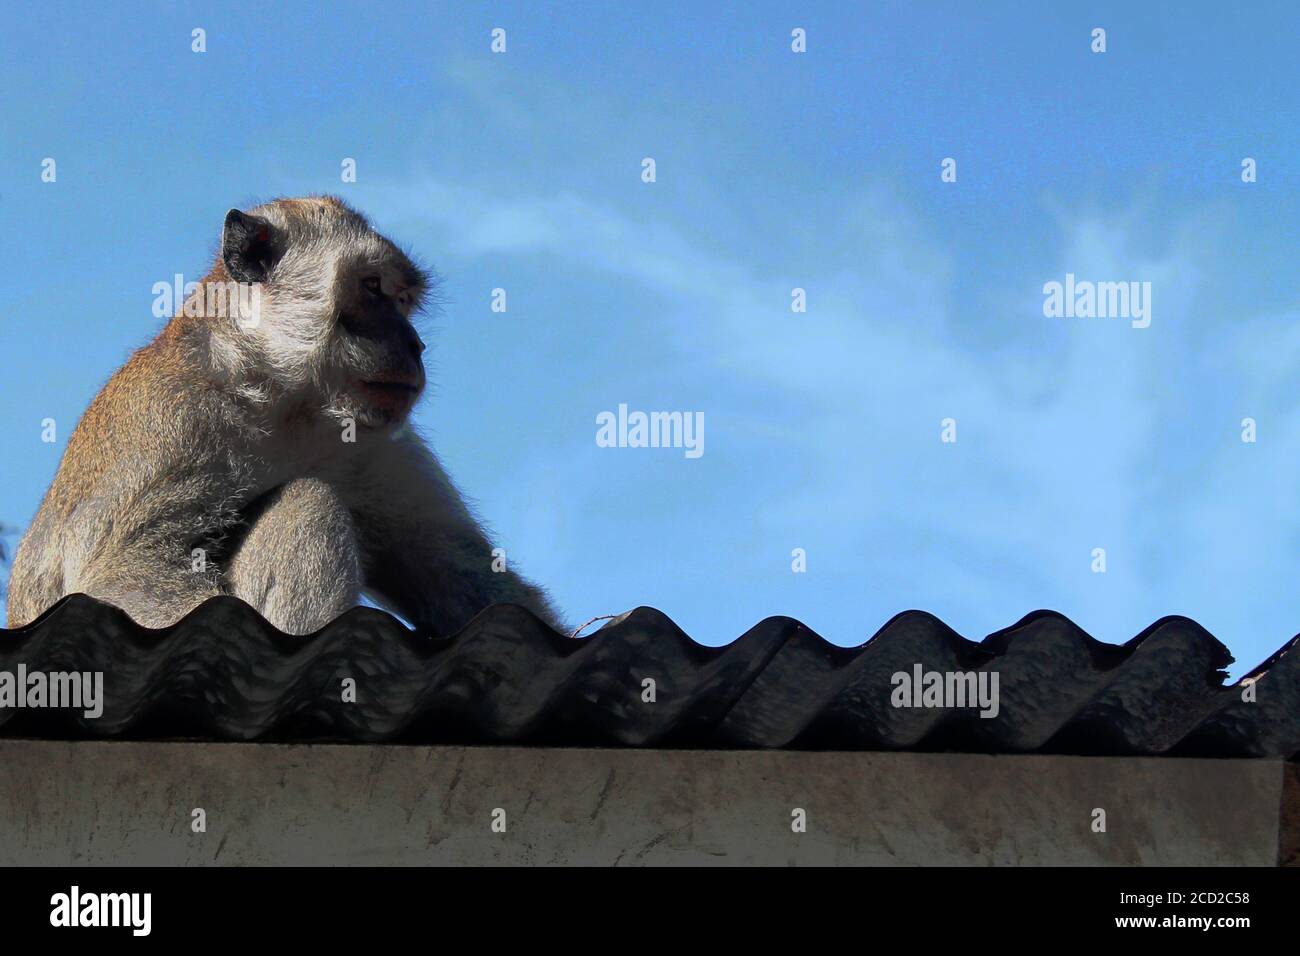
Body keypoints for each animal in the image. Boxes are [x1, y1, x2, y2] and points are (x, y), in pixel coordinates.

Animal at [5, 196, 563, 637]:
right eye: (372, 286)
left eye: (402, 298)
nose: (415, 344)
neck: (285, 401)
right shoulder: (176, 419)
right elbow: (119, 574)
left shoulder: (375, 443)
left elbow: (459, 571)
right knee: (308, 501)